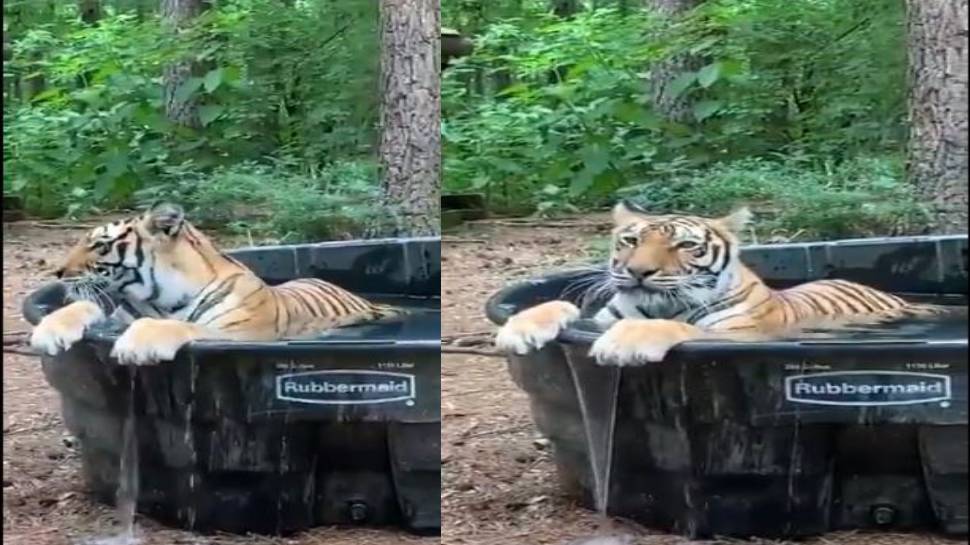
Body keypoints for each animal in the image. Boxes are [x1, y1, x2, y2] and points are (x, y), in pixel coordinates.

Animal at [29, 202, 401, 365]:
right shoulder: (117, 313)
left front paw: (137, 345)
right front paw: (49, 331)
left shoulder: (243, 333)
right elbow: (83, 304)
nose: (58, 273)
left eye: (99, 245)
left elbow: (184, 327)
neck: (157, 298)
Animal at [496, 200, 944, 365]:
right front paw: (517, 329)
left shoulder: (740, 334)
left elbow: (676, 327)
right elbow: (558, 305)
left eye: (684, 245)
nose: (639, 271)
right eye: (631, 240)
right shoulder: (600, 314)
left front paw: (624, 343)